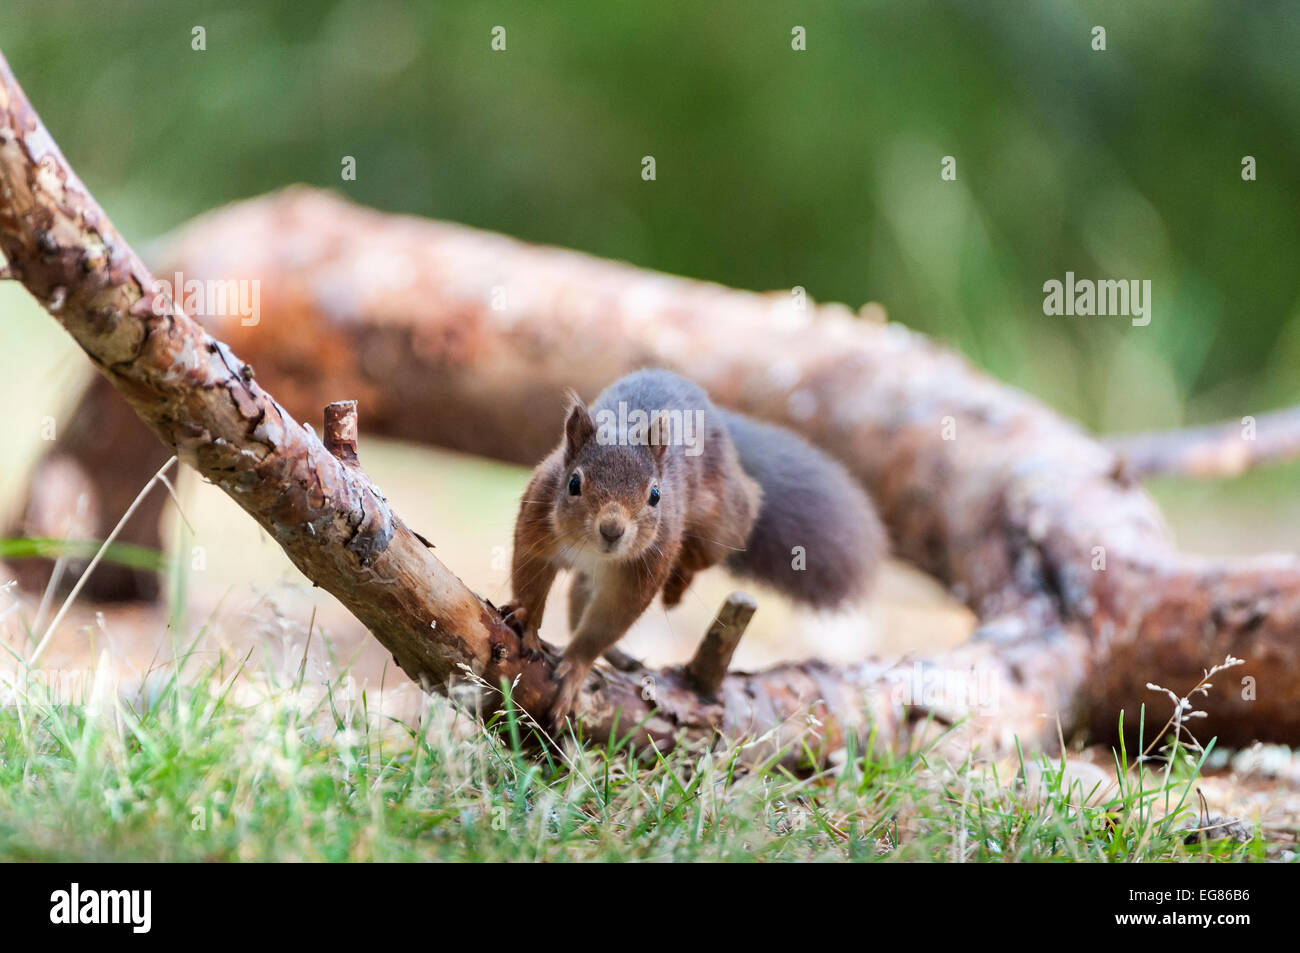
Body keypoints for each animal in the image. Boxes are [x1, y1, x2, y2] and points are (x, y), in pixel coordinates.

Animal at [506, 369, 886, 722]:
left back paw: (676, 588)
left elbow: (608, 620)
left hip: (721, 523)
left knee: (704, 553)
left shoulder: (641, 571)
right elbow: (531, 577)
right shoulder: (538, 524)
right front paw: (529, 626)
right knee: (579, 595)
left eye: (655, 495)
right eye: (573, 483)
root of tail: (717, 416)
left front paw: (575, 668)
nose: (612, 530)